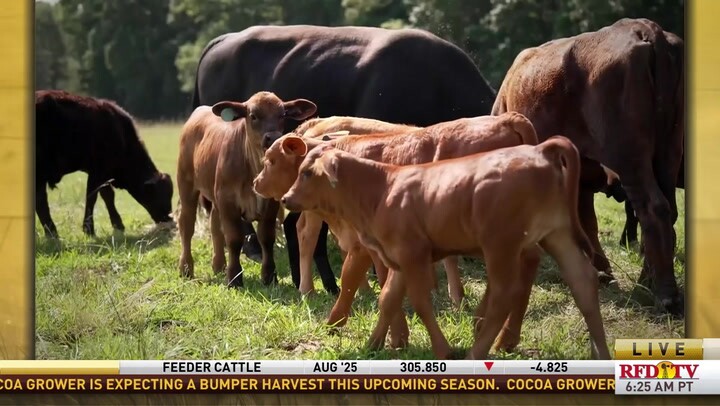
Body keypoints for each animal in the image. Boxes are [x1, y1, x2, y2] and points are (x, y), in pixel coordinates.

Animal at [35, 90, 174, 238]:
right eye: (158, 196)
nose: (168, 218)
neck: (121, 135)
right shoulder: (98, 172)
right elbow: (92, 197)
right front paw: (89, 229)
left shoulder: (104, 175)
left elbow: (107, 196)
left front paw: (118, 225)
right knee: (41, 201)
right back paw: (53, 233)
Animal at [176, 91, 316, 287]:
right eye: (253, 115)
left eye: (282, 115)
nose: (273, 137)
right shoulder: (229, 202)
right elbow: (234, 239)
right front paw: (234, 278)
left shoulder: (269, 204)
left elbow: (267, 238)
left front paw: (269, 276)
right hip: (186, 183)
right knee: (187, 225)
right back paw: (186, 268)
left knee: (214, 225)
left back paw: (219, 265)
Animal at [254, 112, 544, 350]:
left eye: (270, 160)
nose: (256, 182)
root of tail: (508, 118)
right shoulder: (378, 247)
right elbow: (383, 286)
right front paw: (394, 336)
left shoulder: (367, 245)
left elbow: (354, 280)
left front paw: (340, 324)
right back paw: (497, 332)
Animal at [280, 136, 611, 360]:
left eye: (307, 173)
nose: (285, 199)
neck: (383, 189)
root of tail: (539, 150)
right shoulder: (399, 260)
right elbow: (388, 300)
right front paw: (374, 344)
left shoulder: (413, 256)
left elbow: (420, 302)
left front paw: (443, 349)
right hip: (557, 235)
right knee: (583, 282)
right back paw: (601, 353)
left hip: (501, 245)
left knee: (505, 294)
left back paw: (476, 353)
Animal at [492, 18, 685, 315]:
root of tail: (641, 27)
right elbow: (588, 222)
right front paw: (601, 270)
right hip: (667, 155)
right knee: (668, 213)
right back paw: (647, 283)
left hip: (629, 156)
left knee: (654, 210)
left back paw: (664, 295)